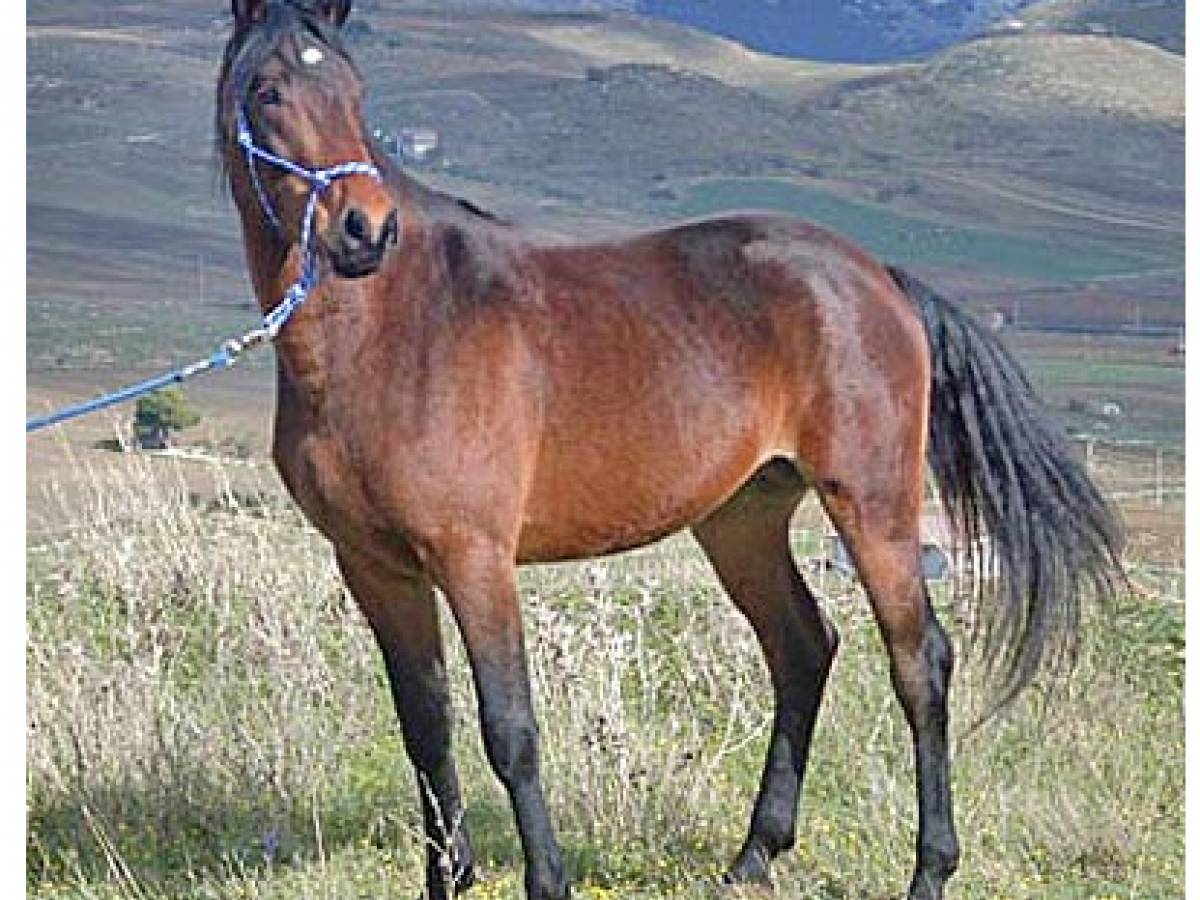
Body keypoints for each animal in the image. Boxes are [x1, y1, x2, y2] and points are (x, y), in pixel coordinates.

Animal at [216, 2, 1123, 898]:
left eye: (354, 90)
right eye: (268, 91)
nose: (365, 230)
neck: (391, 330)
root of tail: (876, 277)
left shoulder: (474, 558)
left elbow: (509, 729)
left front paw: (548, 880)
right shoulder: (376, 567)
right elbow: (425, 726)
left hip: (872, 505)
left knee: (919, 661)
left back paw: (928, 870)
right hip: (741, 520)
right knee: (802, 647)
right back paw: (754, 857)